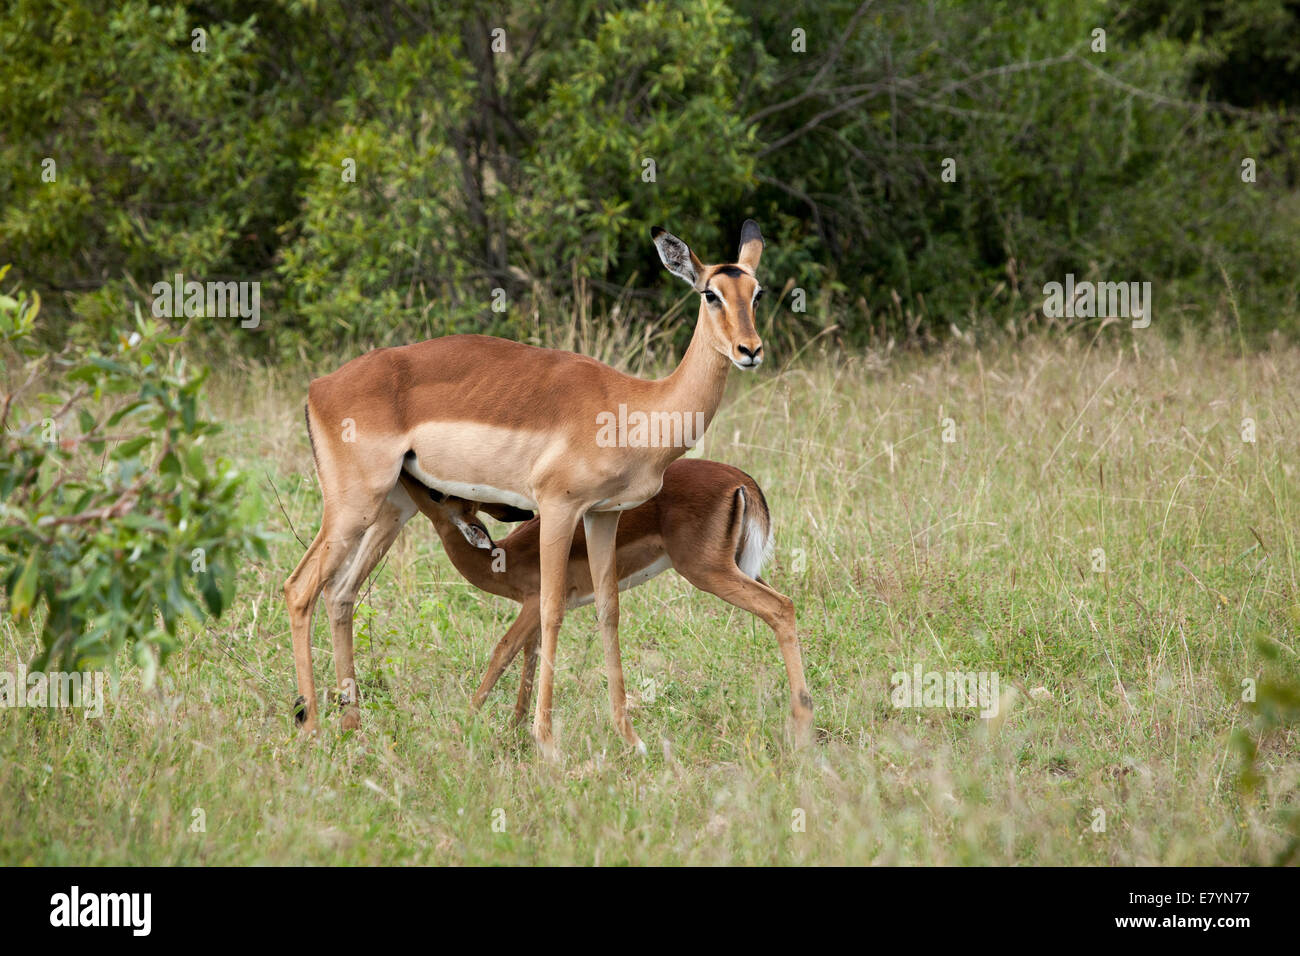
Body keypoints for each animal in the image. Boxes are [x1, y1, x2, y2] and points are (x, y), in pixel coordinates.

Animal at [285, 221, 767, 757]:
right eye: (710, 294)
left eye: (757, 292)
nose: (750, 350)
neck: (634, 408)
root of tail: (318, 387)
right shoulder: (557, 507)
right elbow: (552, 611)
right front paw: (547, 742)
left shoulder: (604, 514)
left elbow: (608, 611)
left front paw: (631, 739)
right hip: (352, 508)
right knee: (299, 588)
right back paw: (310, 727)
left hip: (391, 509)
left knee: (341, 594)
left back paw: (353, 727)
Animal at [395, 458, 814, 744]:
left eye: (436, 492)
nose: (404, 472)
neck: (504, 559)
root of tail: (741, 481)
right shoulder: (537, 613)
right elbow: (530, 659)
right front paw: (514, 728)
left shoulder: (535, 603)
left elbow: (503, 651)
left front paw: (464, 724)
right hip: (741, 566)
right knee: (782, 603)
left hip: (708, 572)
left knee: (782, 607)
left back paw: (802, 722)